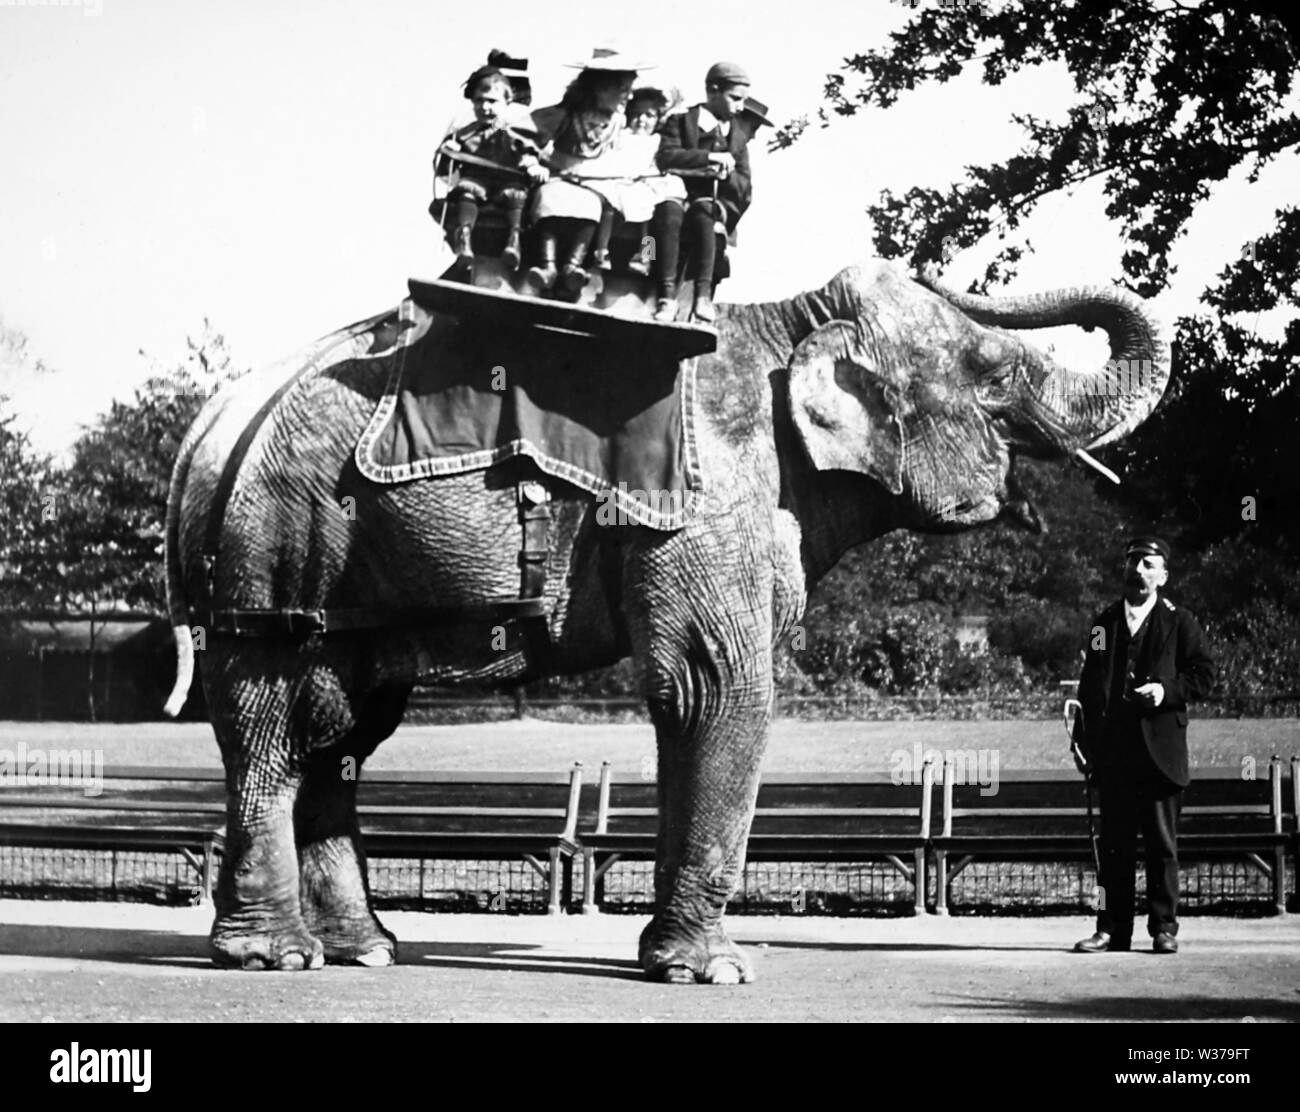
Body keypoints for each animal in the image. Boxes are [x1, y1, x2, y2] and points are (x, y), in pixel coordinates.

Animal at [162, 259, 1169, 980]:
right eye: (996, 373)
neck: (791, 315)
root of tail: (213, 422)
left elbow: (706, 692)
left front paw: (678, 963)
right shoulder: (702, 499)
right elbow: (714, 686)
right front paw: (715, 973)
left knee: (343, 729)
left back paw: (366, 952)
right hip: (276, 546)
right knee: (273, 720)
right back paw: (273, 956)